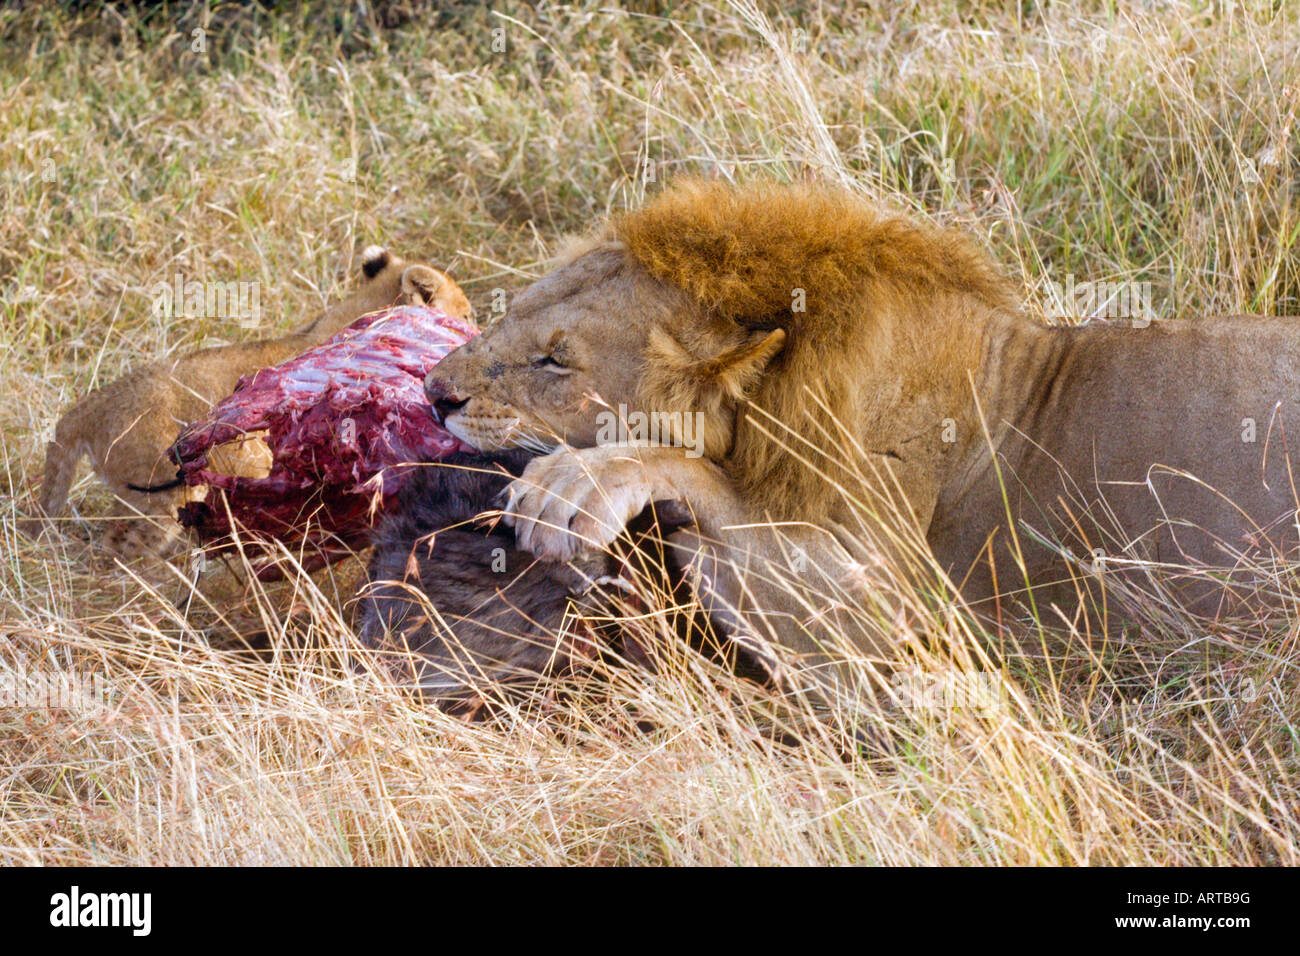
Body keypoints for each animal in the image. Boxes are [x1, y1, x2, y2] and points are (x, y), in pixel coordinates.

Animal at [420, 178, 1300, 699]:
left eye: (554, 360)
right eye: (510, 312)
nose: (433, 393)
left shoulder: (910, 619)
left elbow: (708, 489)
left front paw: (586, 482)